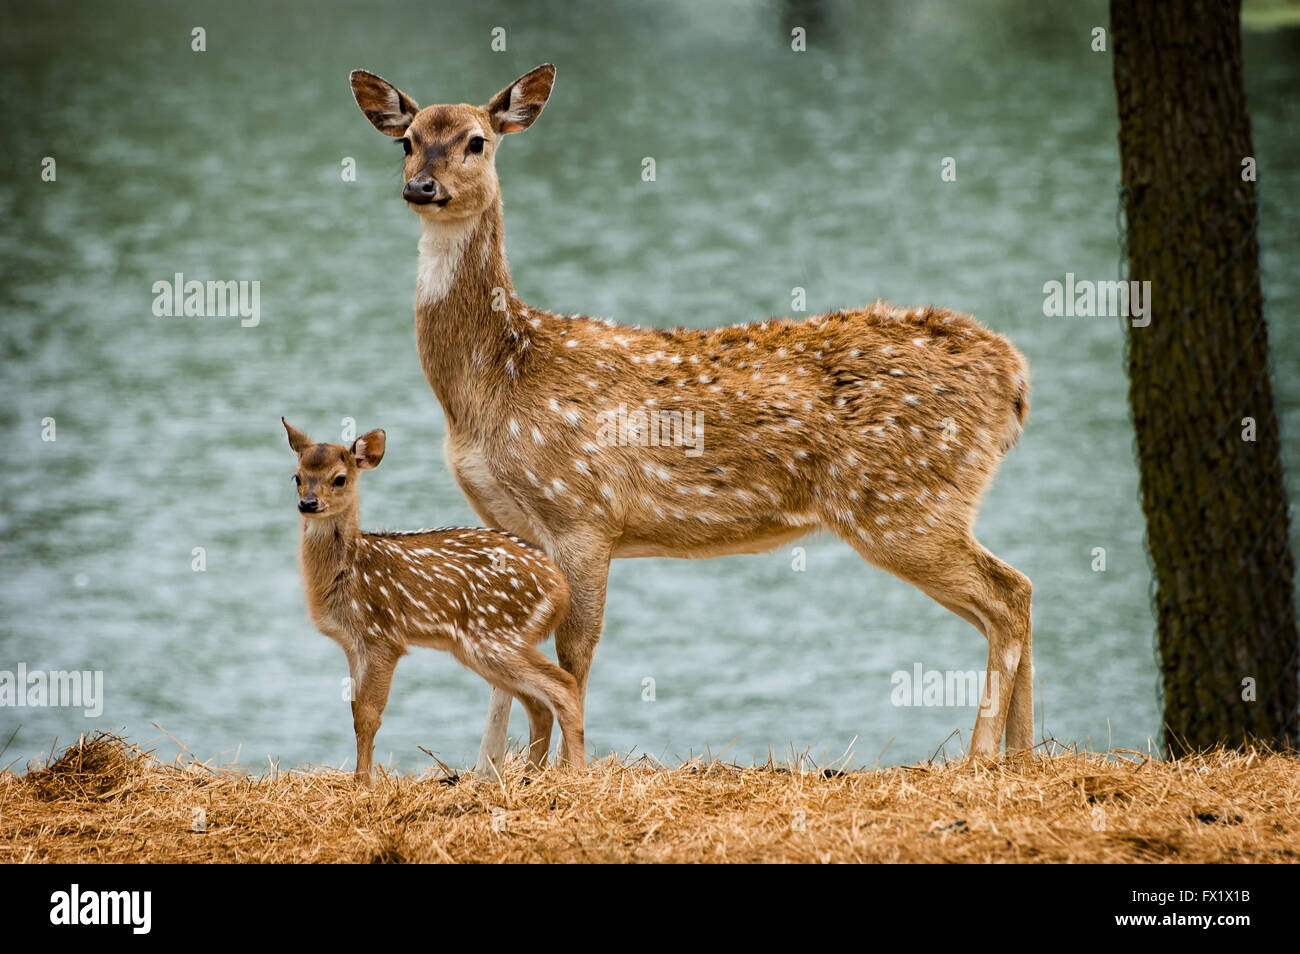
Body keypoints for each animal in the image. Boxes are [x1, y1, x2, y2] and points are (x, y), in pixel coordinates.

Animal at [282, 417, 585, 783]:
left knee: (563, 684)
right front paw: (359, 778)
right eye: (297, 476)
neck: (351, 568)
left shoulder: (383, 636)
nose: (308, 503)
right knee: (539, 703)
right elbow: (355, 712)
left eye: (339, 479)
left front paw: (364, 782)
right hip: (483, 646)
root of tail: (560, 587)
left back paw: (577, 772)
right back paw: (529, 776)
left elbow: (369, 715)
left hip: (496, 634)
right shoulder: (353, 644)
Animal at [348, 63, 1034, 770]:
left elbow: (573, 654)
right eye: (407, 140)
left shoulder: (582, 510)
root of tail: (1014, 378)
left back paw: (983, 754)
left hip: (904, 501)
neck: (494, 384)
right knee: (1014, 596)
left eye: (477, 141)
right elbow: (507, 663)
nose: (422, 187)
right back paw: (1023, 751)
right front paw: (494, 773)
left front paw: (565, 771)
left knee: (1010, 595)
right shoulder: (510, 525)